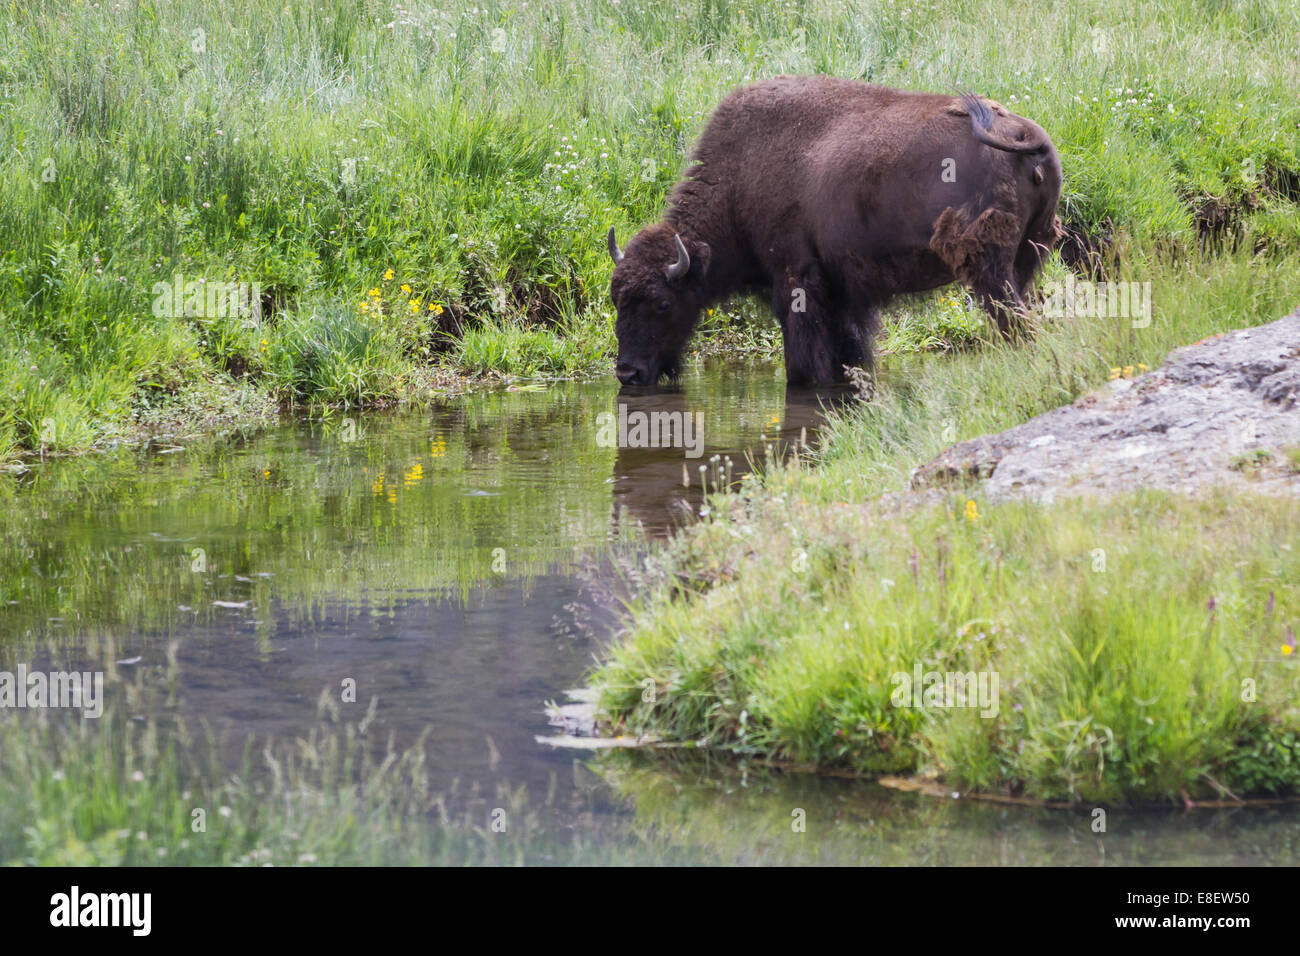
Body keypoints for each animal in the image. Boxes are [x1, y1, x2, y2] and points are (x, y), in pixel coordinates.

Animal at [608, 75, 1063, 386]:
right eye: (617, 301)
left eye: (663, 303)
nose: (628, 373)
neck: (738, 179)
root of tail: (1027, 135)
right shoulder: (845, 291)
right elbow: (851, 349)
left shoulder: (796, 281)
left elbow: (804, 358)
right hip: (1028, 257)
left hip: (991, 269)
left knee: (1015, 321)